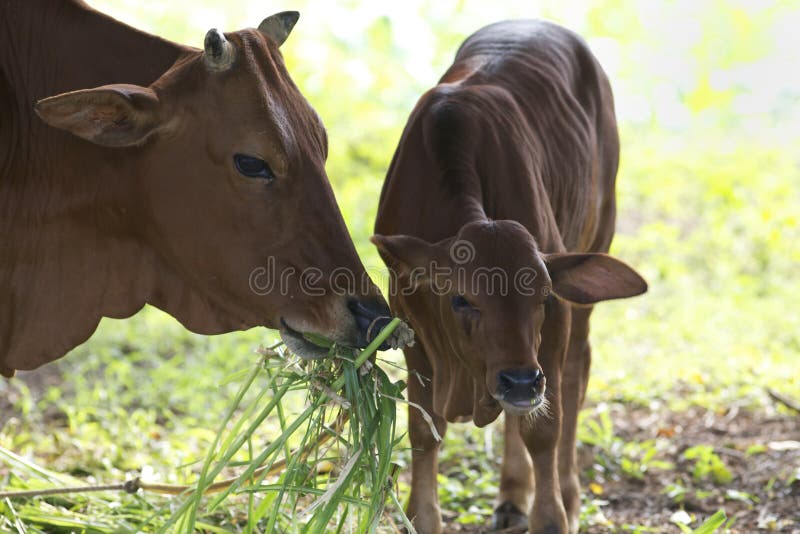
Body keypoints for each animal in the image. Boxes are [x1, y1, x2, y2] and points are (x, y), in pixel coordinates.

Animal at [373, 20, 647, 534]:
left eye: (541, 296)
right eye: (462, 299)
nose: (521, 382)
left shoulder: (554, 322)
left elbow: (544, 428)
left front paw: (552, 514)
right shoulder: (412, 327)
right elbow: (424, 430)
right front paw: (424, 516)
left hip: (599, 238)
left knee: (574, 374)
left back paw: (566, 491)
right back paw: (512, 495)